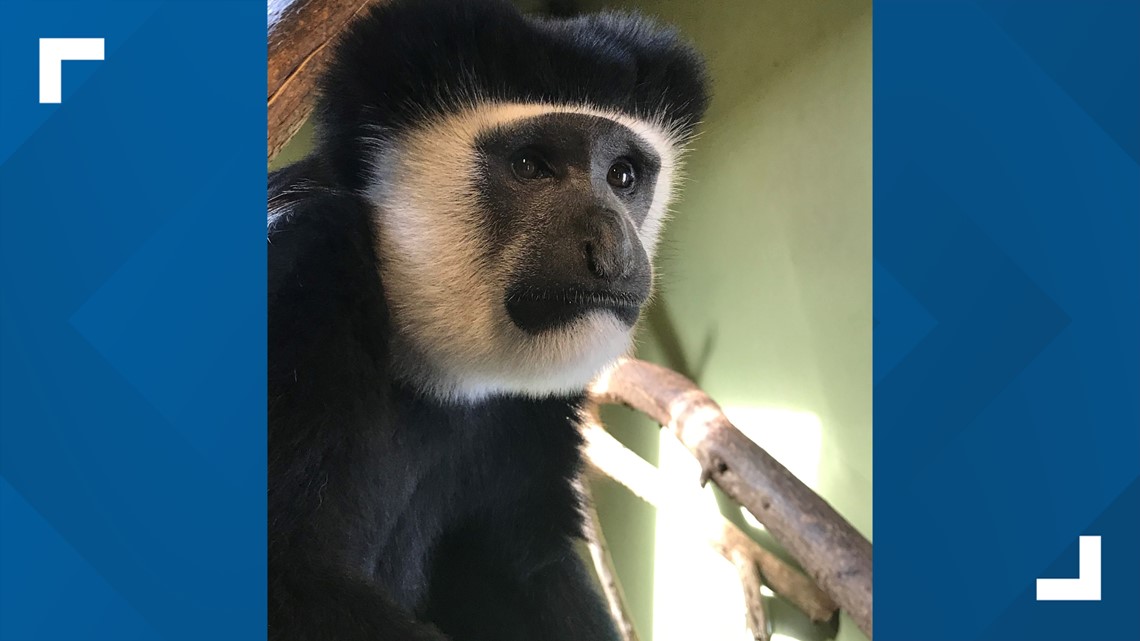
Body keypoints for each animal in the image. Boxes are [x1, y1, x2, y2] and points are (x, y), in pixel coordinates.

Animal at [267, 0, 708, 638]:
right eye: (530, 165)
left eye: (623, 175)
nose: (612, 250)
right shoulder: (305, 273)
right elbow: (287, 575)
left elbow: (520, 561)